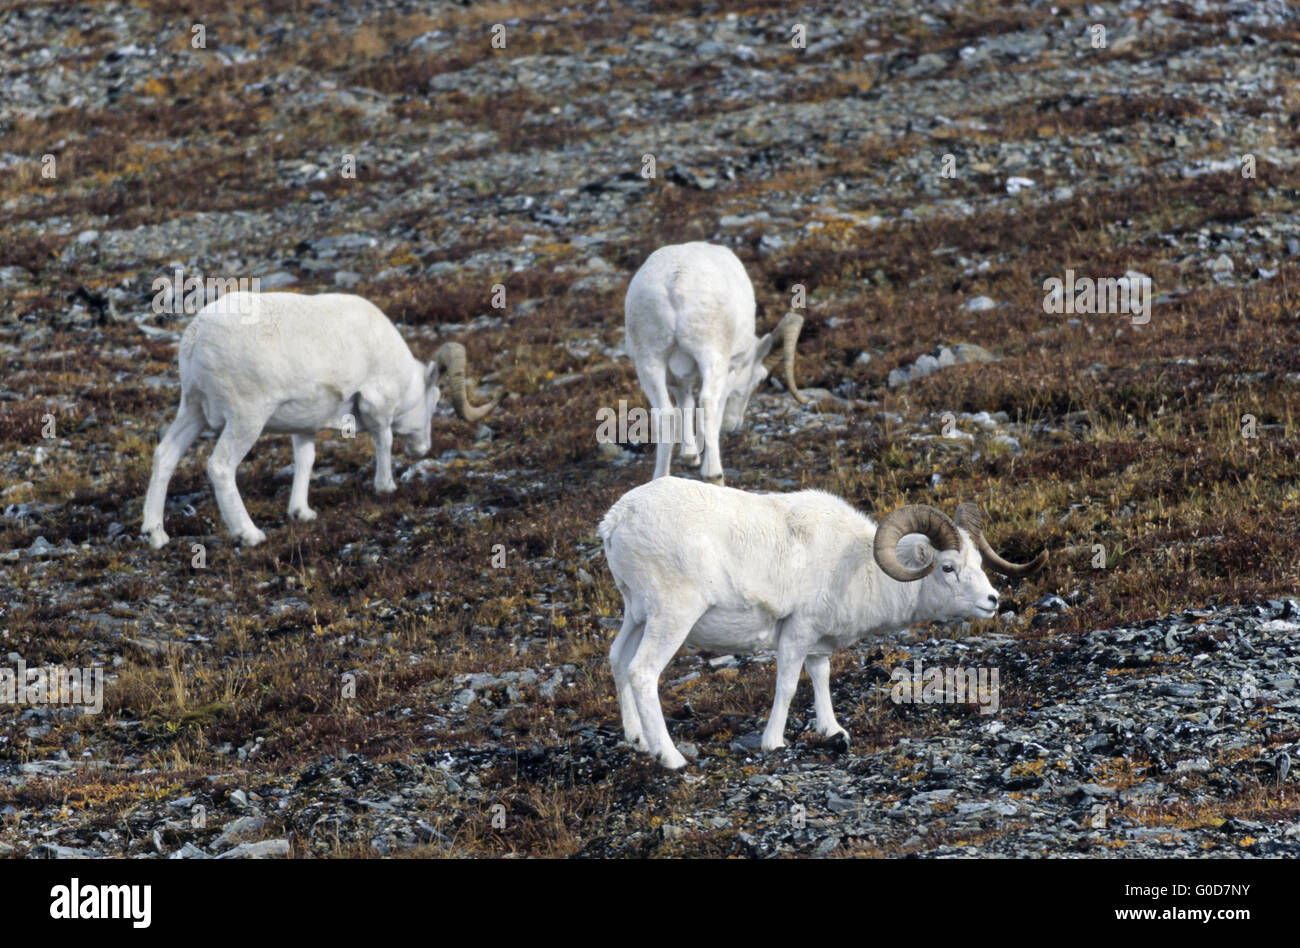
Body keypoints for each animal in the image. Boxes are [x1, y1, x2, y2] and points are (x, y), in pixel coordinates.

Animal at [141, 291, 498, 549]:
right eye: (435, 402)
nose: (422, 449)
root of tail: (195, 340)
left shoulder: (304, 427)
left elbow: (306, 460)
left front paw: (302, 513)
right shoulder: (376, 404)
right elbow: (384, 440)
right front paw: (386, 487)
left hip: (193, 410)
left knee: (165, 455)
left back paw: (156, 535)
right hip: (246, 418)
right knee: (220, 467)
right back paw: (250, 535)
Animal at [598, 477, 1047, 769]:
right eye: (948, 567)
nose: (992, 601)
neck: (857, 567)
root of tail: (616, 520)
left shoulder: (816, 644)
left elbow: (820, 677)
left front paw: (832, 731)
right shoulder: (795, 634)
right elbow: (787, 685)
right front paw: (773, 743)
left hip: (637, 614)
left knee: (618, 660)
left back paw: (638, 742)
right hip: (672, 617)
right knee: (642, 672)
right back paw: (671, 758)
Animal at [623, 242, 808, 486]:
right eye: (757, 380)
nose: (734, 425)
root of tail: (675, 282)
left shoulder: (676, 378)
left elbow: (686, 403)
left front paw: (691, 455)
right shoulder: (730, 368)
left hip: (649, 361)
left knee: (666, 412)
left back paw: (661, 479)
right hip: (712, 355)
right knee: (708, 401)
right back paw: (714, 475)